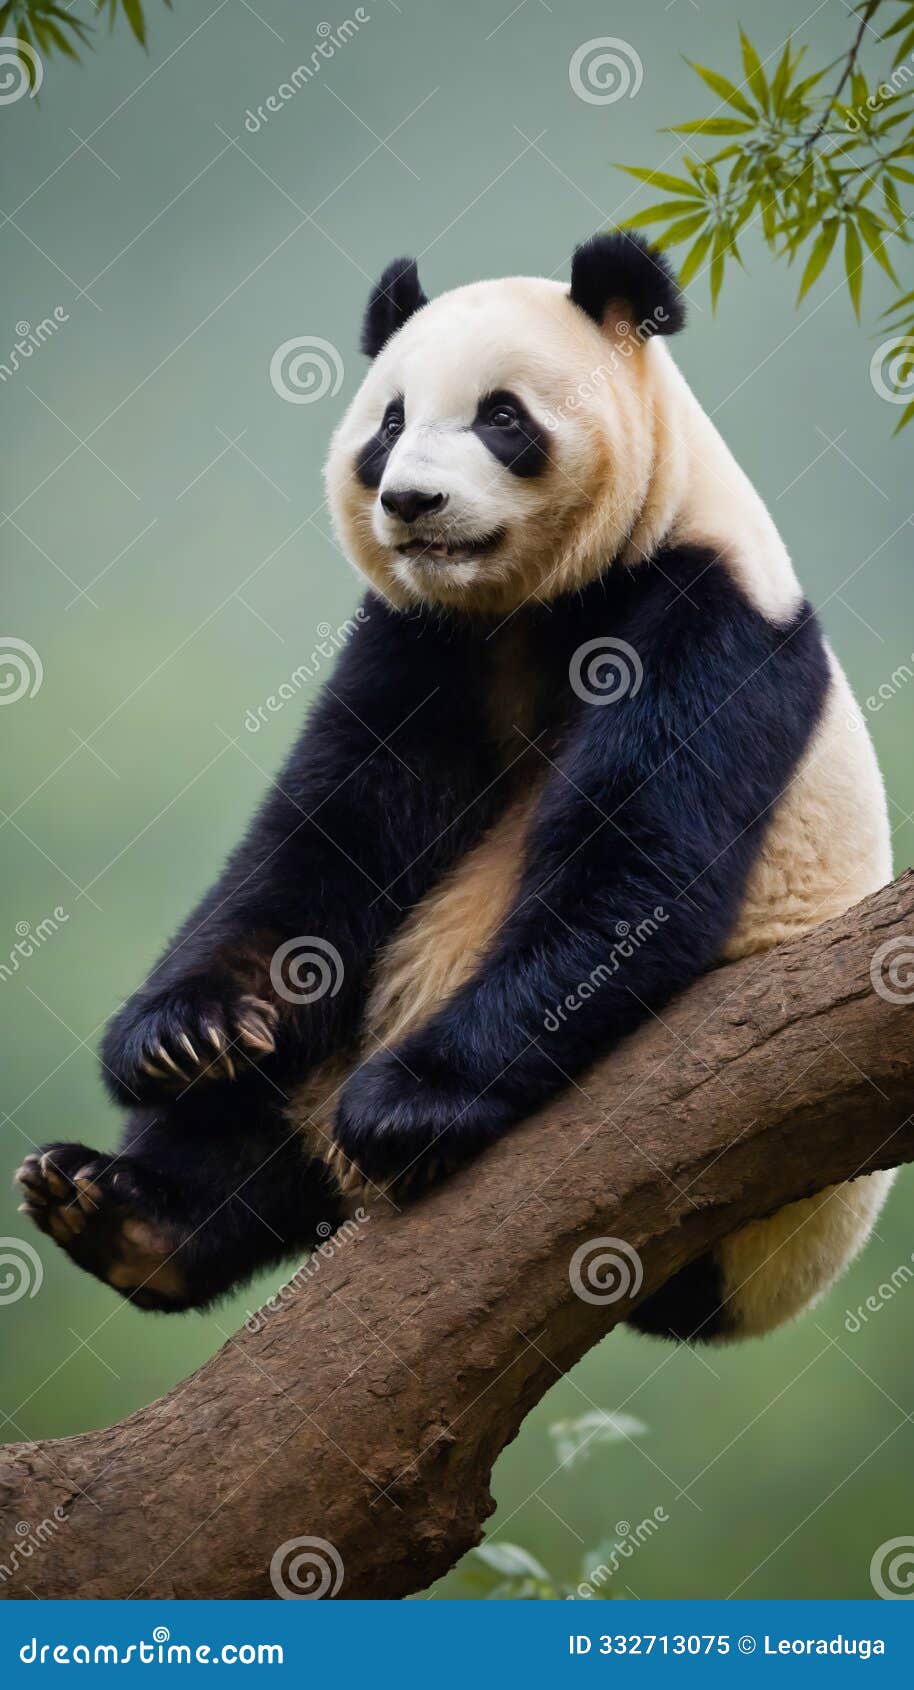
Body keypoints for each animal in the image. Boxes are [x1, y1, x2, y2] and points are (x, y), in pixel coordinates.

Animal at [16, 232, 894, 1342]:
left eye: (501, 417)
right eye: (389, 424)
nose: (411, 501)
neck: (533, 604)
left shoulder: (710, 618)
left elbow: (629, 868)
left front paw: (408, 1102)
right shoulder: (419, 639)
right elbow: (328, 836)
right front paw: (183, 1030)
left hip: (766, 1210)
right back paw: (127, 1213)